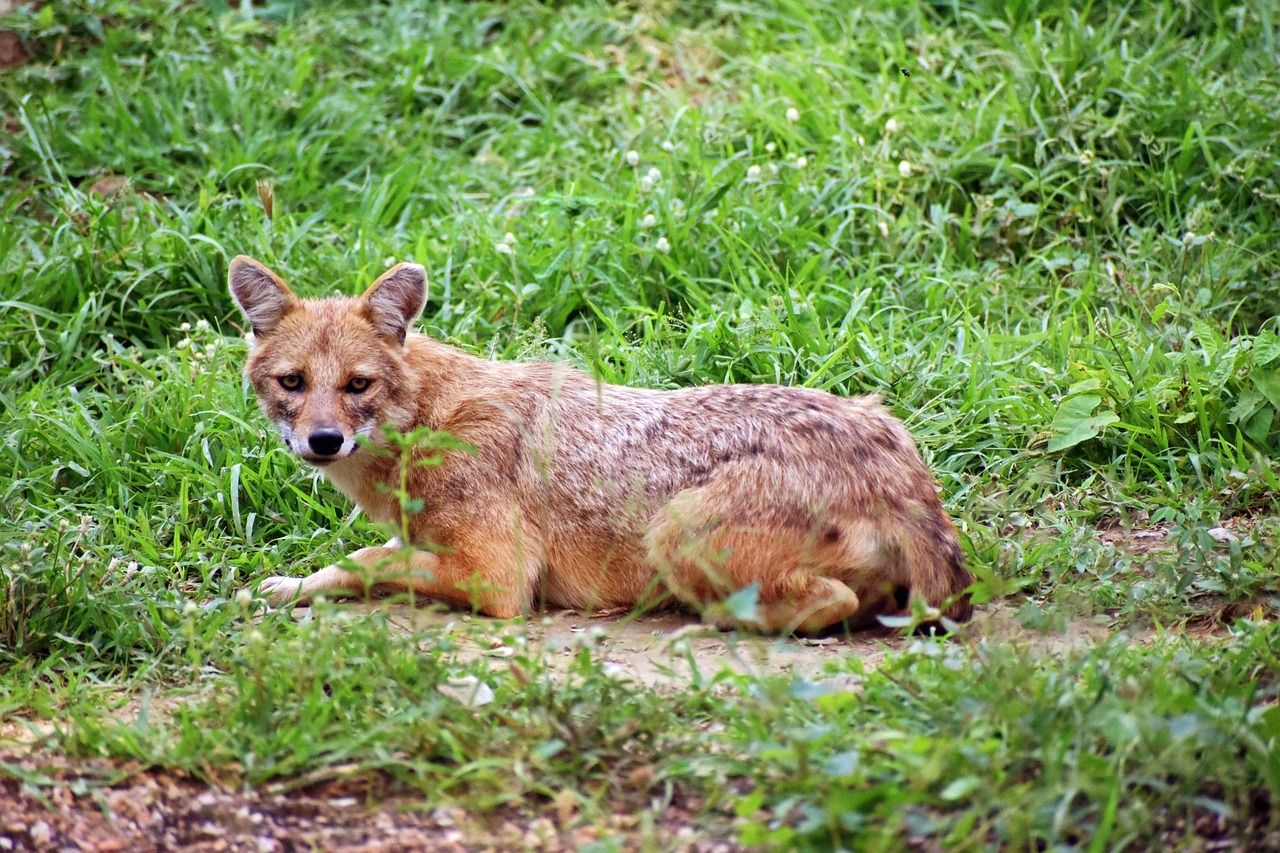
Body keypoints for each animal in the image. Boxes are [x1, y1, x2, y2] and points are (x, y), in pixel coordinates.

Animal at [228, 255, 973, 634]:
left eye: (358, 385)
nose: (324, 440)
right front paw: (283, 588)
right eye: (293, 382)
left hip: (670, 534)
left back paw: (712, 617)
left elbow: (366, 562)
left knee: (835, 605)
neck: (430, 421)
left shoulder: (499, 577)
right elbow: (349, 560)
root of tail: (902, 473)